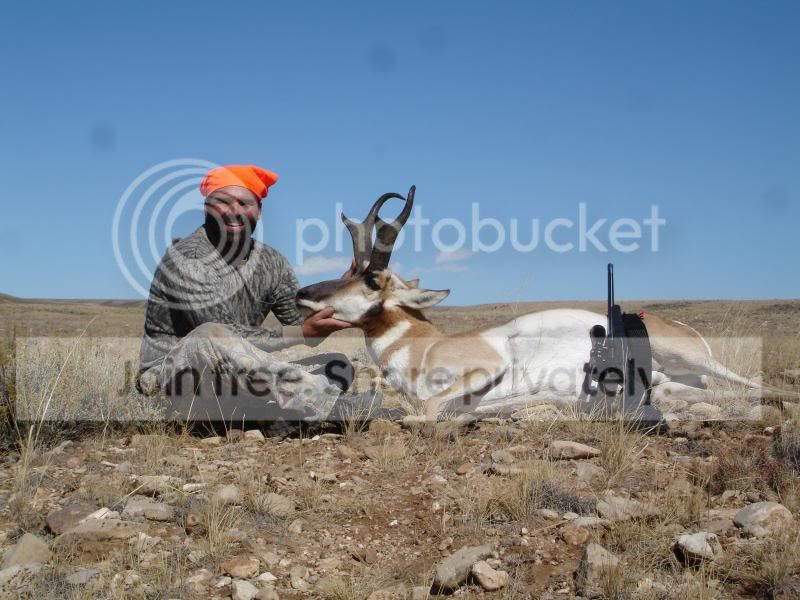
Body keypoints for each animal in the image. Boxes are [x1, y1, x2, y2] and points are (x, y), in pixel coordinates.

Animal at [296, 187, 774, 421]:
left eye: (371, 279)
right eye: (348, 271)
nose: (303, 293)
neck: (424, 345)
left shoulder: (485, 367)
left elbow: (427, 411)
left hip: (693, 359)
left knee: (754, 386)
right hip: (676, 377)